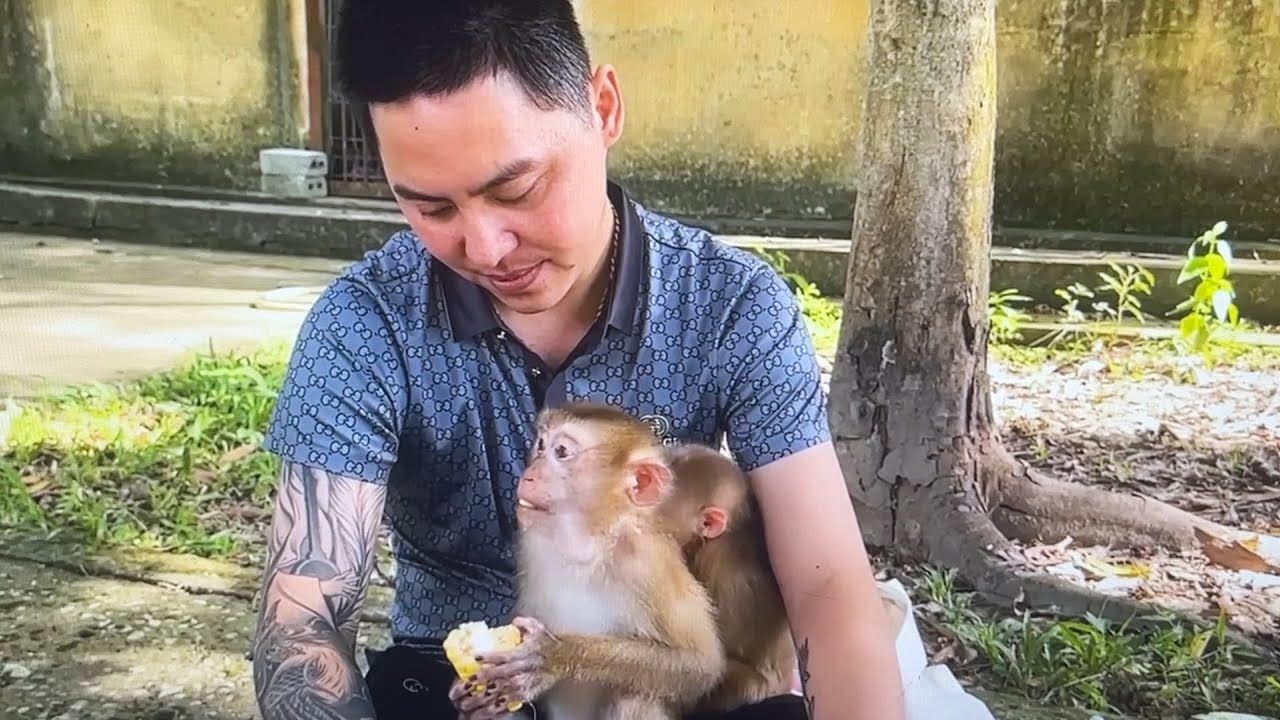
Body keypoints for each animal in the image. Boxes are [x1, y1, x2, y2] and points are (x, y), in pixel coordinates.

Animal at [469, 402, 727, 720]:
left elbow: (699, 665)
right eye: (541, 445)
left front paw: (553, 655)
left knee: (634, 696)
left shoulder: (646, 564)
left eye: (562, 451)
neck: (588, 545)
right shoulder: (531, 545)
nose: (529, 475)